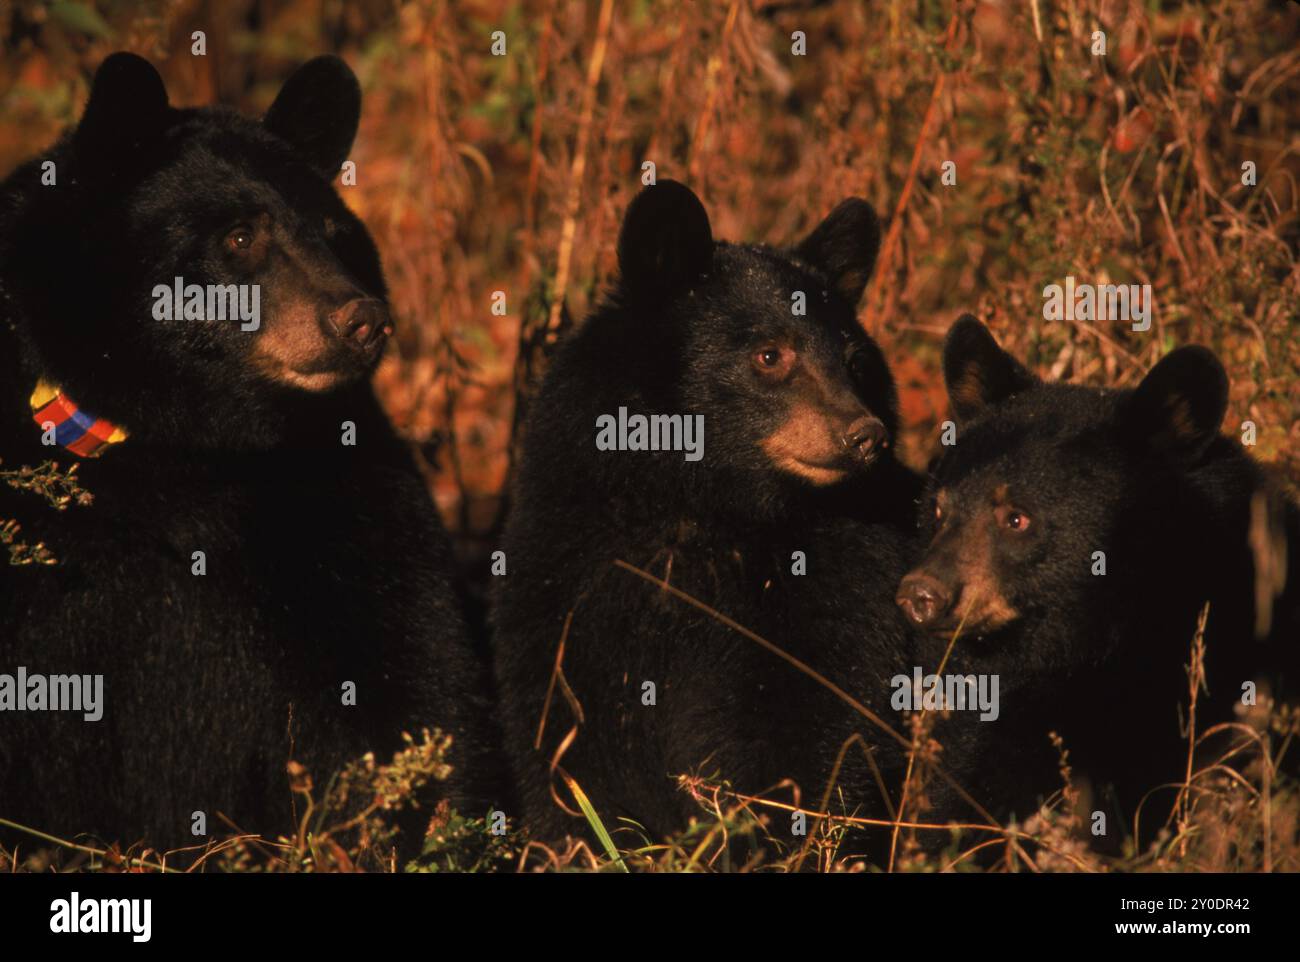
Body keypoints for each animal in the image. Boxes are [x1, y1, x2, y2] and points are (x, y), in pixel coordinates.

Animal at [0, 52, 502, 854]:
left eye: (335, 232)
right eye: (239, 237)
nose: (363, 320)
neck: (181, 439)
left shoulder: (336, 491)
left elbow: (409, 668)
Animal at [492, 179, 923, 848]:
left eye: (855, 360)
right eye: (770, 355)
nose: (865, 435)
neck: (701, 508)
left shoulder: (839, 582)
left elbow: (818, 723)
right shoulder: (570, 576)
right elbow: (570, 737)